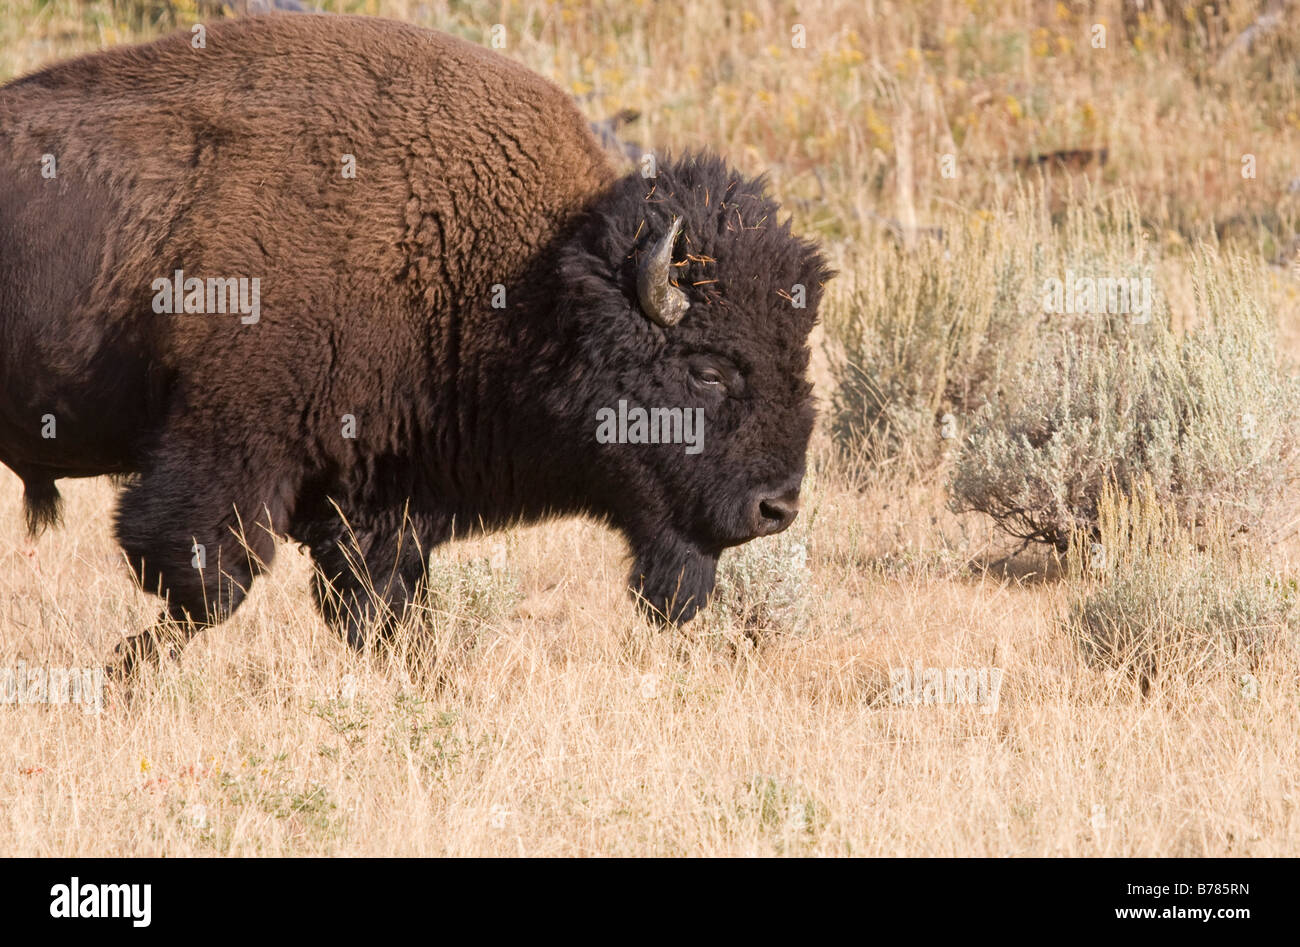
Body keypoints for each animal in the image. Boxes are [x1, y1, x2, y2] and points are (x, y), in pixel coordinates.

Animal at [0, 15, 830, 673]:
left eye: (799, 354)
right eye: (708, 368)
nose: (777, 506)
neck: (526, 279)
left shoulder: (380, 492)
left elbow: (380, 603)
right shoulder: (225, 450)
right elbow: (207, 585)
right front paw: (119, 671)